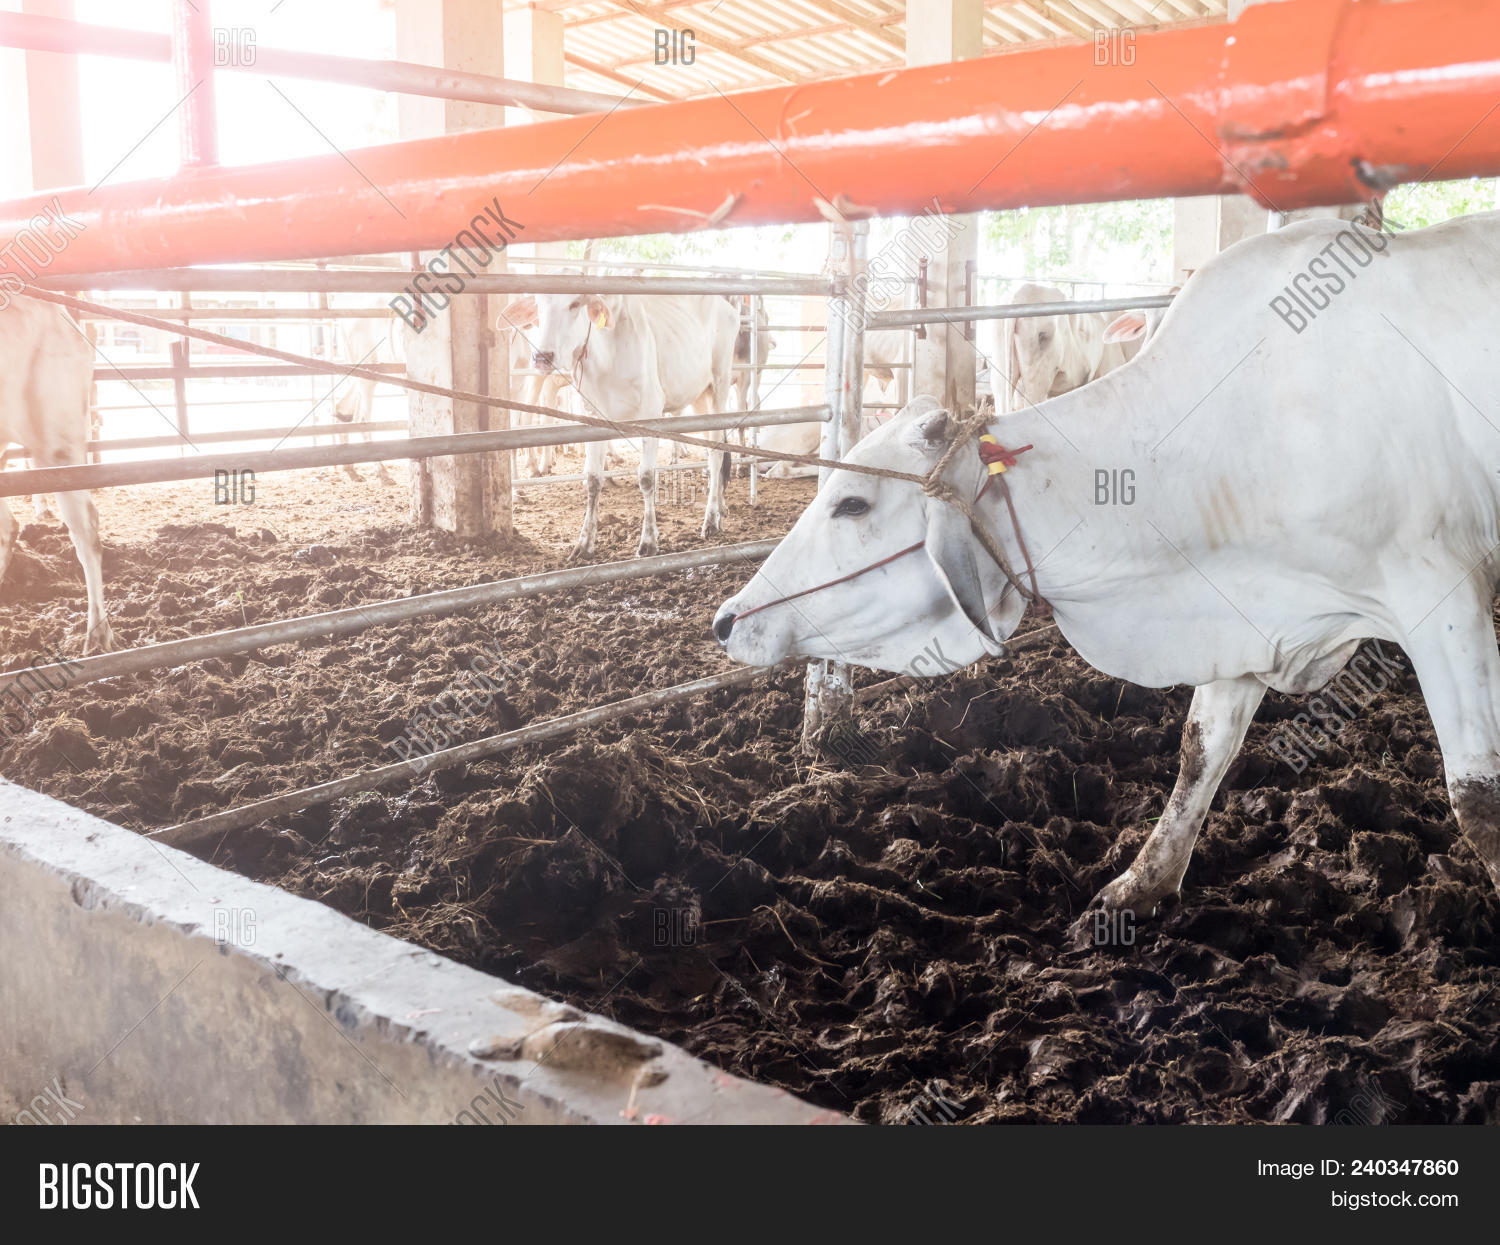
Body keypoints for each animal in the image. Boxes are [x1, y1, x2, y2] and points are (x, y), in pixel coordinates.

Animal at [499, 291, 739, 559]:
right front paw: (585, 543)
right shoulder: (592, 418)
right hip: (699, 397)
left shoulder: (650, 414)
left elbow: (646, 477)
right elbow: (593, 479)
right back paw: (721, 507)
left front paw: (648, 541)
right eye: (538, 304)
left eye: (574, 304)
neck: (607, 358)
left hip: (719, 385)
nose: (542, 357)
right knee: (713, 450)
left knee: (716, 453)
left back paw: (711, 520)